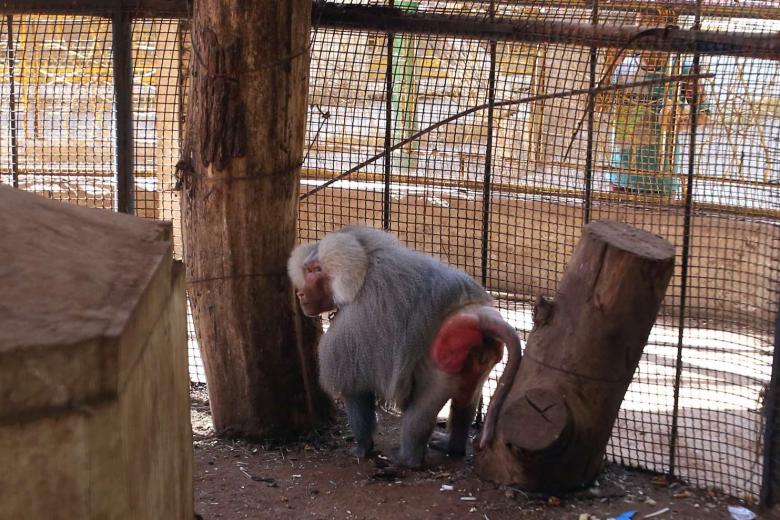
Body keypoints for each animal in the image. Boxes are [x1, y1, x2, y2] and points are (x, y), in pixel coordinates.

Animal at [288, 226, 522, 468]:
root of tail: (477, 318)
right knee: (465, 403)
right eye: (306, 270)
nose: (300, 294)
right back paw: (451, 446)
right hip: (480, 362)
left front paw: (362, 448)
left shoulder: (352, 324)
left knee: (420, 412)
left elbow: (355, 388)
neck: (363, 267)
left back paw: (406, 459)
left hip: (441, 366)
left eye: (316, 270)